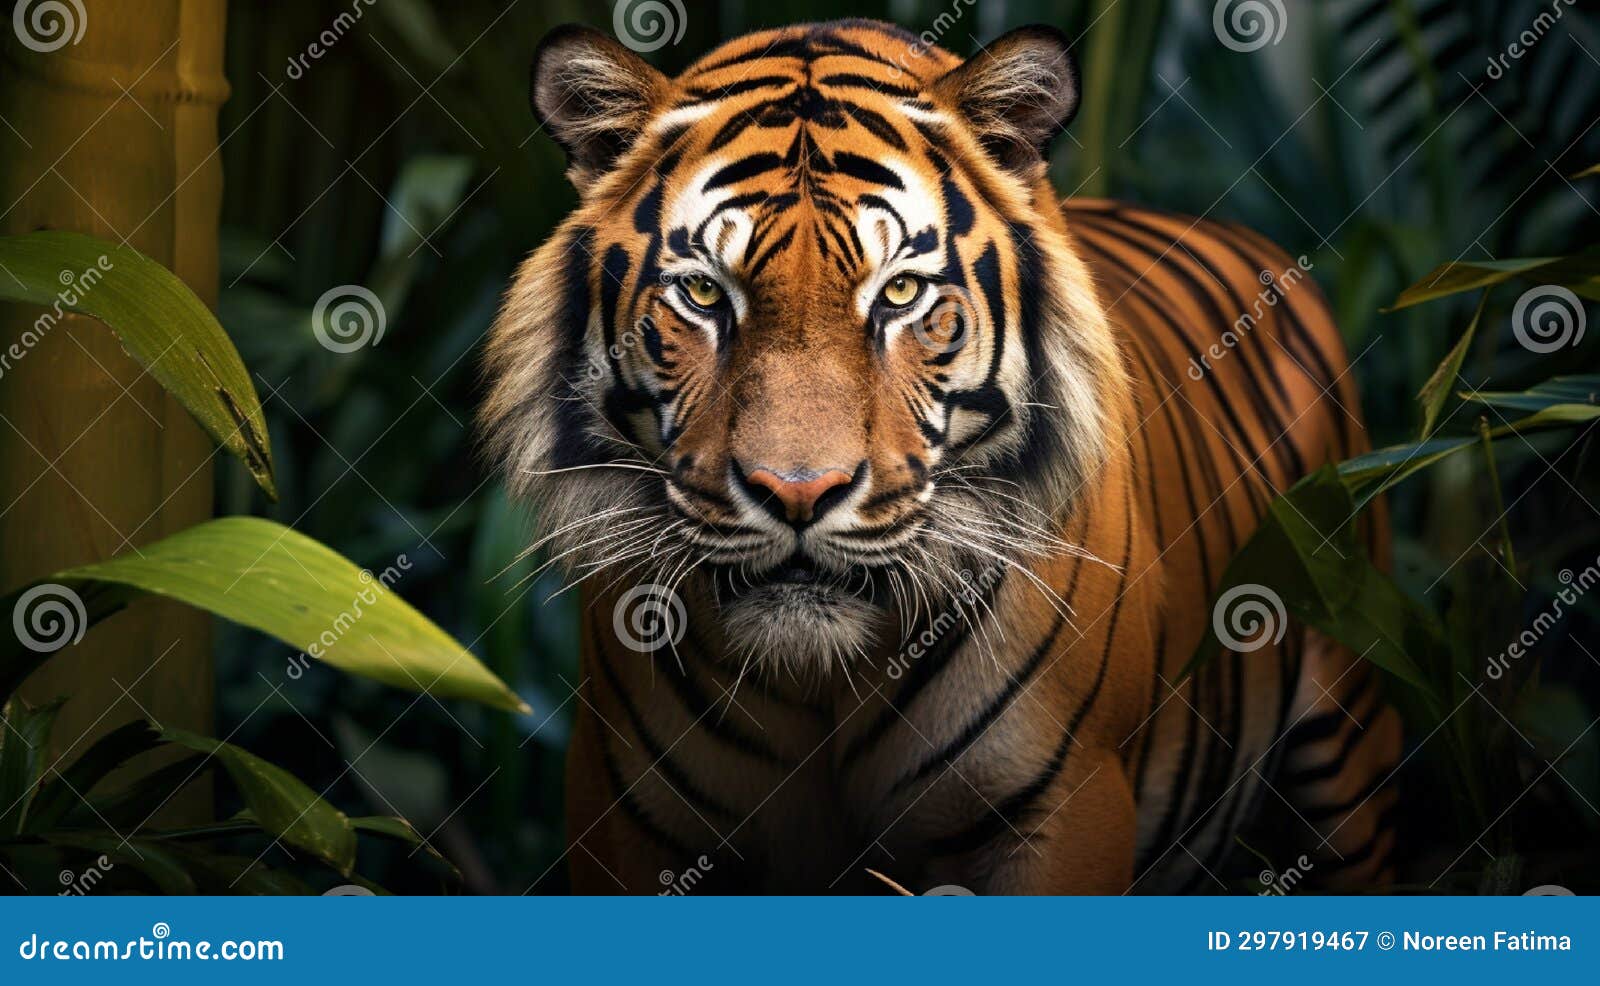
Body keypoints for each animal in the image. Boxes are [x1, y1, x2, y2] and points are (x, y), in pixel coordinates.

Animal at [480, 19, 1403, 894]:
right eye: (705, 292)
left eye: (899, 293)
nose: (797, 493)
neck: (820, 679)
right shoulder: (630, 822)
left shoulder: (1062, 809)